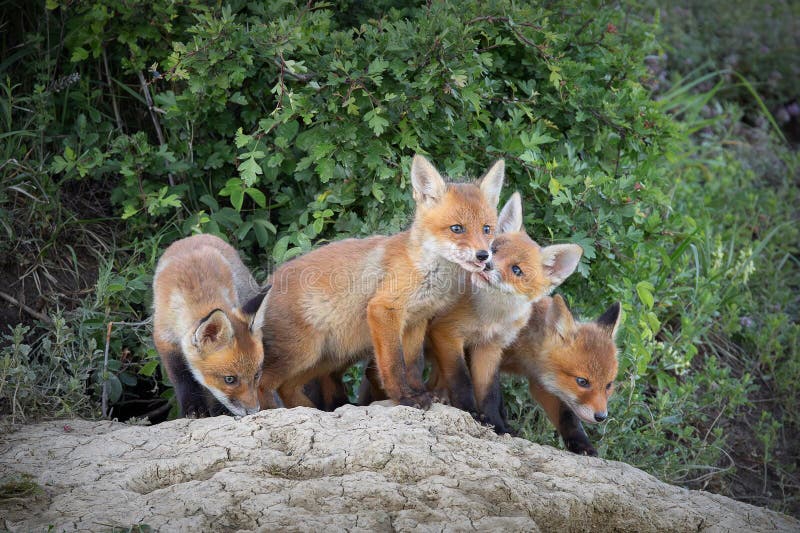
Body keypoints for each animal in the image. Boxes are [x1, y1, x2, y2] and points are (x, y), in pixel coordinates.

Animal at [152, 234, 270, 418]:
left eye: (257, 374)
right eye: (230, 379)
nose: (253, 411)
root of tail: (195, 236)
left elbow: (213, 393)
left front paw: (218, 411)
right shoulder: (165, 339)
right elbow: (182, 379)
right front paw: (192, 408)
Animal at [258, 155, 503, 409]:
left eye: (487, 229)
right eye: (457, 228)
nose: (483, 256)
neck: (425, 270)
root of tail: (268, 281)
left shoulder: (416, 321)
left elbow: (413, 365)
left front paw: (419, 392)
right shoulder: (384, 309)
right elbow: (394, 364)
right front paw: (404, 397)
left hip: (324, 358)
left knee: (287, 387)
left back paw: (309, 409)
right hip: (301, 352)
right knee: (262, 383)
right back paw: (269, 409)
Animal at [426, 192, 583, 432]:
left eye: (516, 270)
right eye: (494, 249)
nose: (487, 263)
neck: (490, 318)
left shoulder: (489, 347)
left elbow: (488, 391)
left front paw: (495, 423)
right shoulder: (447, 332)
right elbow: (461, 379)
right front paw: (469, 411)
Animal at [495, 294, 622, 456]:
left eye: (608, 385)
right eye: (582, 381)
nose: (601, 416)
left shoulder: (543, 383)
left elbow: (567, 417)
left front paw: (583, 445)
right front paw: (497, 424)